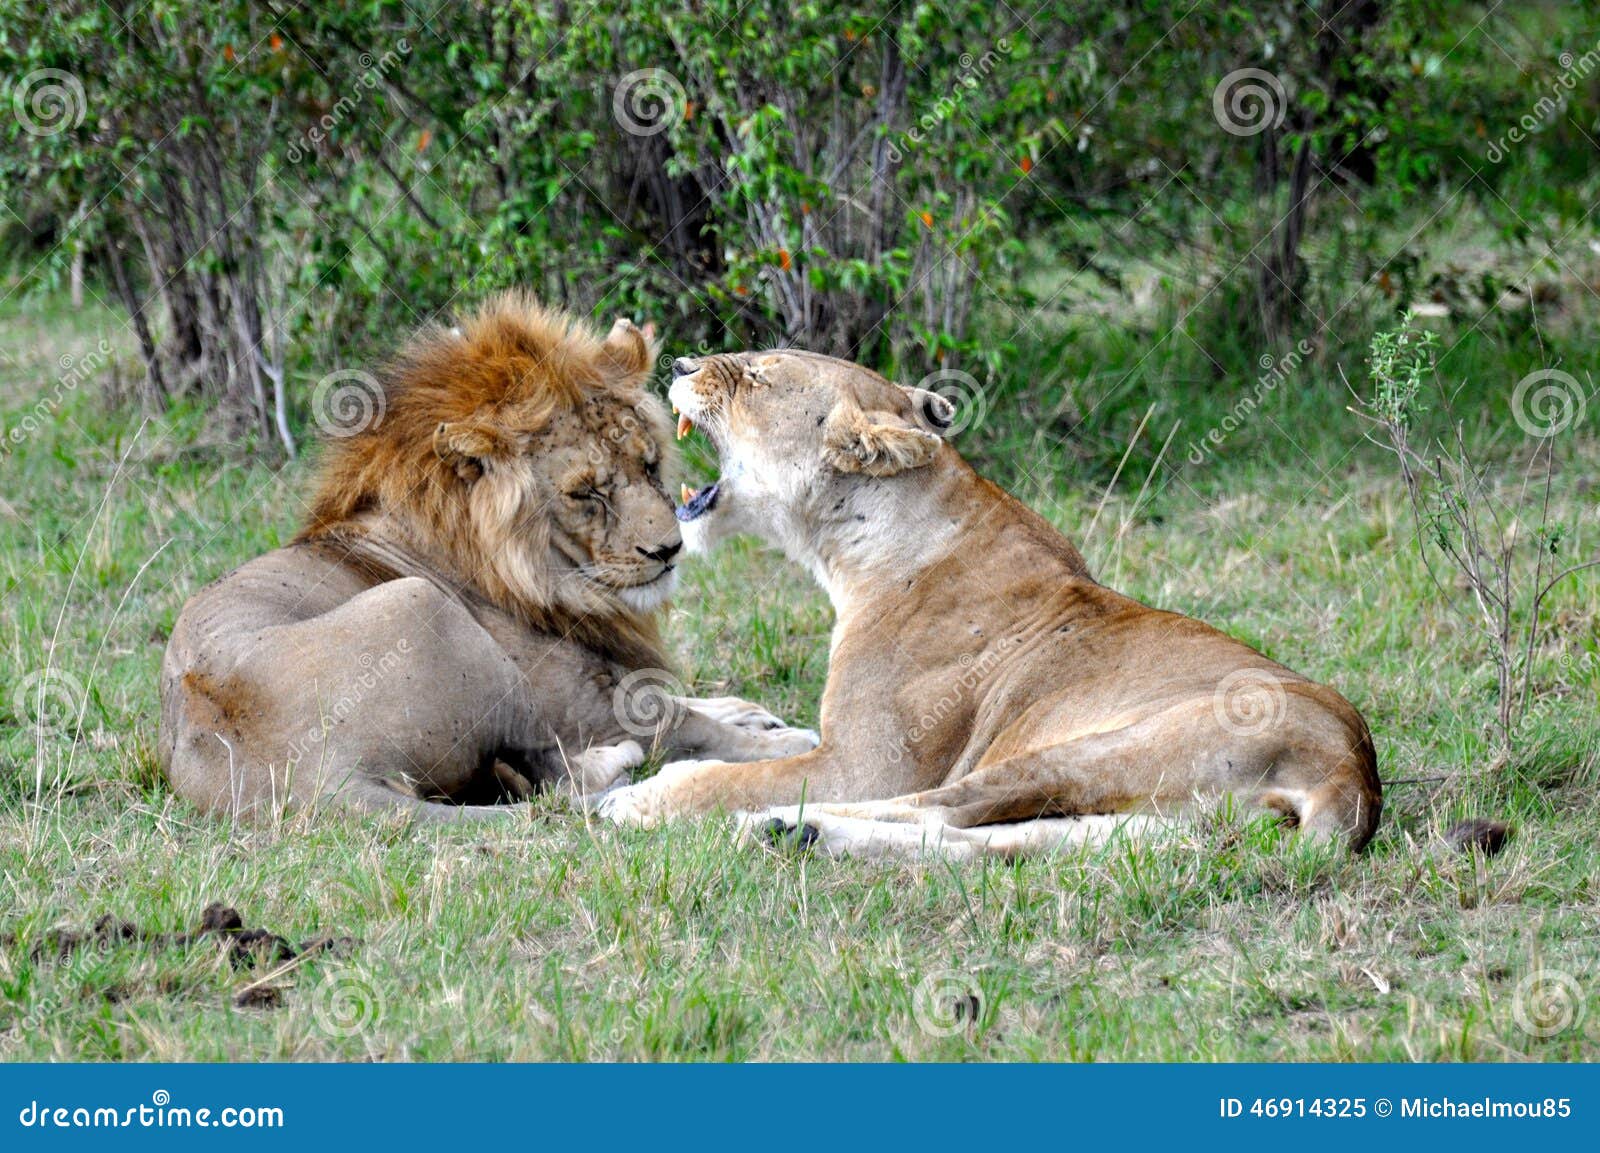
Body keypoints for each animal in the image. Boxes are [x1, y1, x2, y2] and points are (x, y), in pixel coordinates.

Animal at [157, 296, 817, 821]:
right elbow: (686, 723)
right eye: (586, 493)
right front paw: (789, 743)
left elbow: (681, 698)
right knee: (558, 775)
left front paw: (751, 713)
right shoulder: (584, 705)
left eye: (650, 465)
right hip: (427, 609)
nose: (668, 549)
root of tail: (316, 781)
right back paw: (623, 763)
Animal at [594, 350, 1382, 857]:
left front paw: (659, 792)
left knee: (945, 805)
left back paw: (748, 817)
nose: (681, 365)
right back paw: (796, 833)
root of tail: (1353, 776)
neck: (854, 547)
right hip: (1151, 826)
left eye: (757, 373)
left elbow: (748, 774)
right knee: (987, 839)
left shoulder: (867, 762)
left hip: (1094, 747)